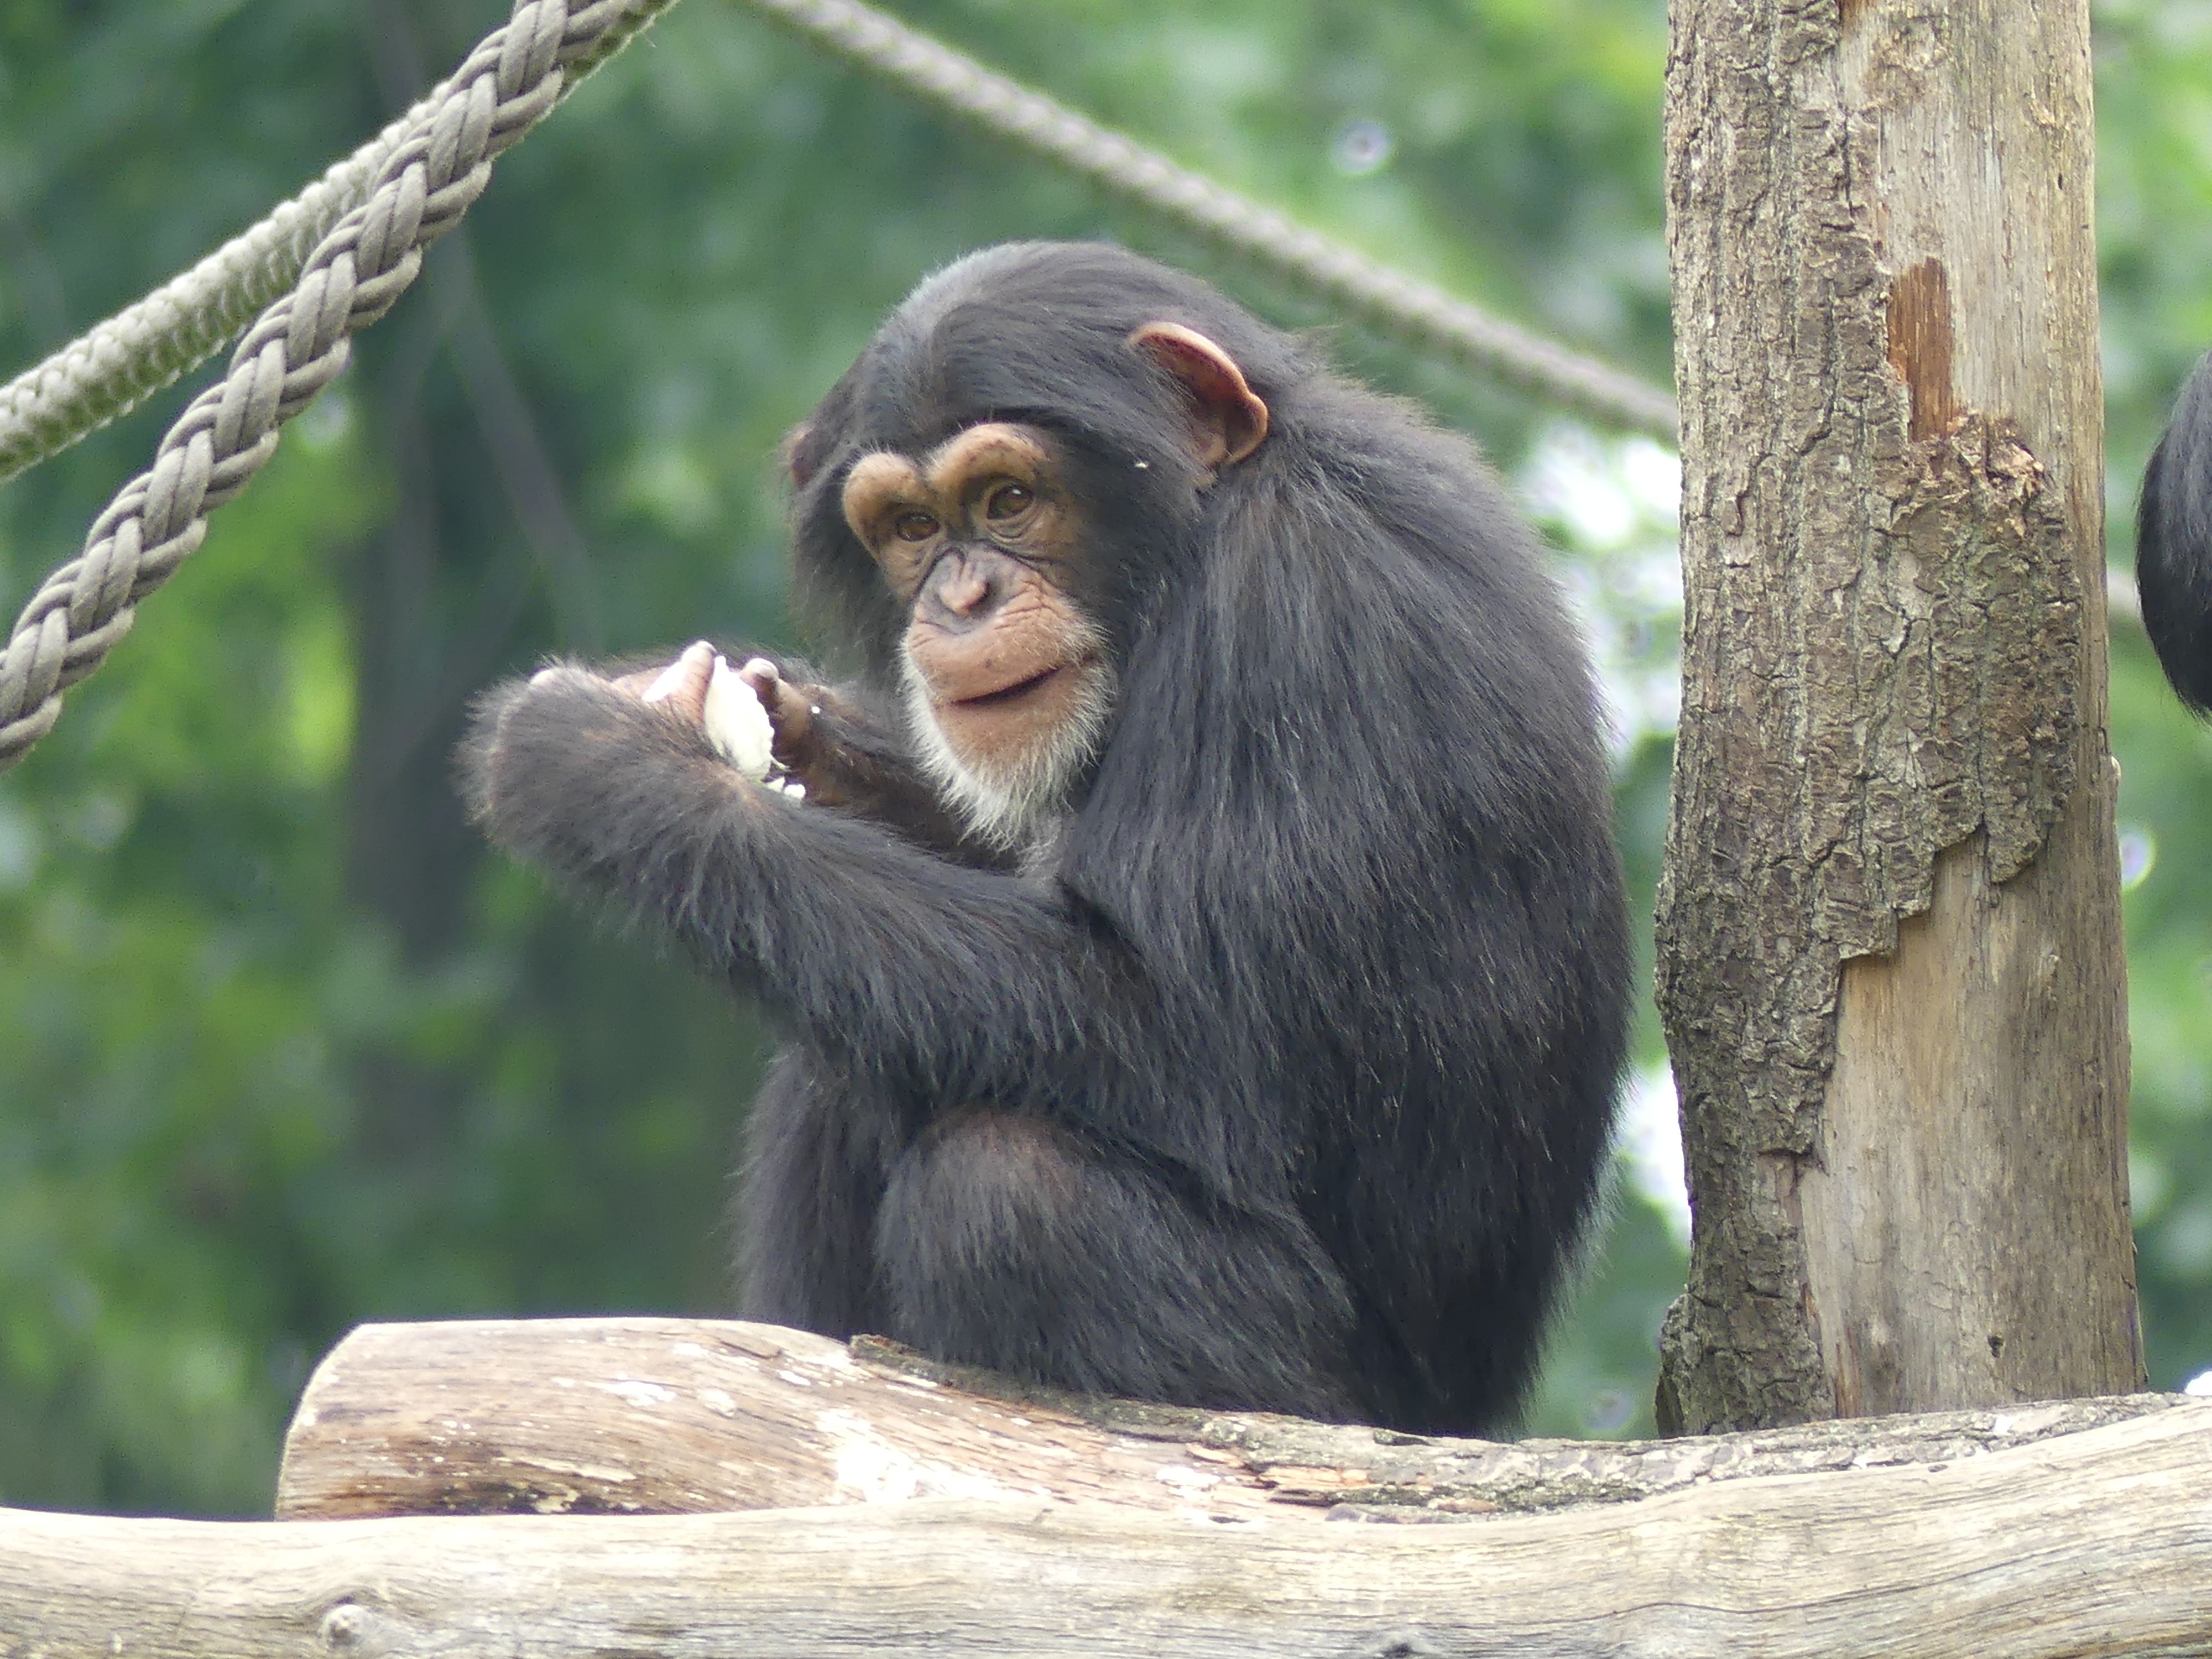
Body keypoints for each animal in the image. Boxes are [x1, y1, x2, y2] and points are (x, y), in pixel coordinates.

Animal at [463, 241, 1631, 1433]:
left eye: (1009, 498)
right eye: (912, 528)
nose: (962, 596)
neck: (1195, 543)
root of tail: (1468, 1415)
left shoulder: (1302, 611)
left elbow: (1174, 1027)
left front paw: (604, 763)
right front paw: (797, 725)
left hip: (1353, 1400)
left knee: (1005, 1188)